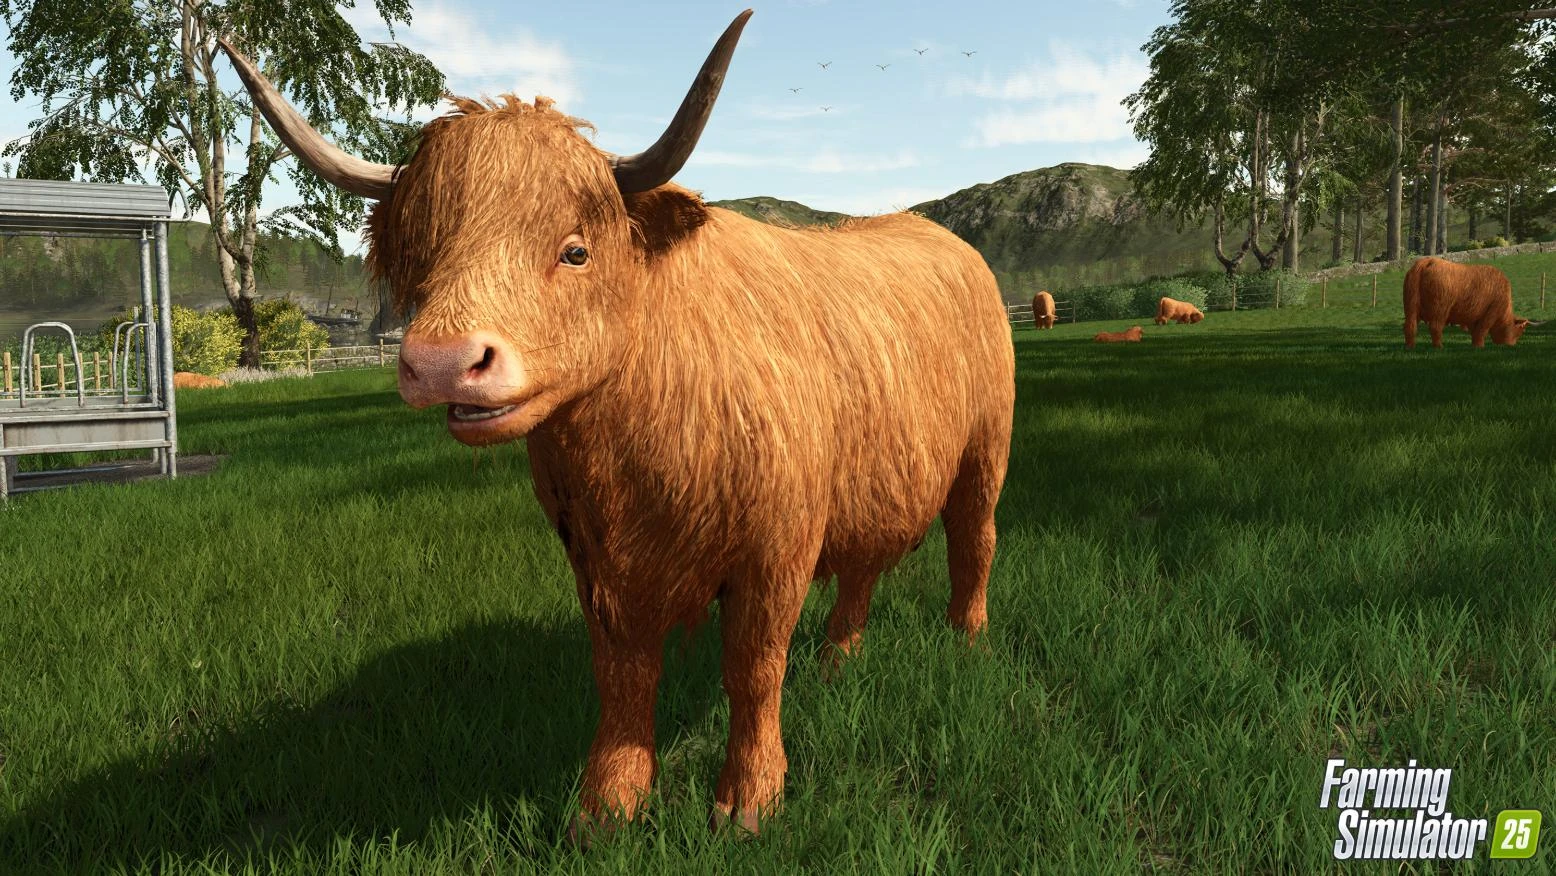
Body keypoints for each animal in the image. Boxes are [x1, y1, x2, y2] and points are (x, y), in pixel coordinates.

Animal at [220, 9, 1014, 842]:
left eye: (575, 251)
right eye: (425, 260)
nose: (442, 362)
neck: (632, 460)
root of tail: (933, 234)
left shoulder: (778, 546)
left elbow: (754, 667)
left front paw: (749, 798)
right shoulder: (599, 563)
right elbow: (624, 673)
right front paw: (608, 806)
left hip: (984, 453)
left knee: (974, 541)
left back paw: (966, 640)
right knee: (862, 569)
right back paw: (840, 663)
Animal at [1403, 257, 1538, 348]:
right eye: (1520, 331)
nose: (1511, 345)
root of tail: (1426, 261)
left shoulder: (1474, 315)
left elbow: (1476, 331)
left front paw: (1474, 345)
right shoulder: (1491, 312)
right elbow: (1482, 330)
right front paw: (1480, 346)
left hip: (1410, 306)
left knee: (1410, 325)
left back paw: (1410, 347)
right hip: (1440, 308)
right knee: (1435, 327)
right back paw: (1439, 347)